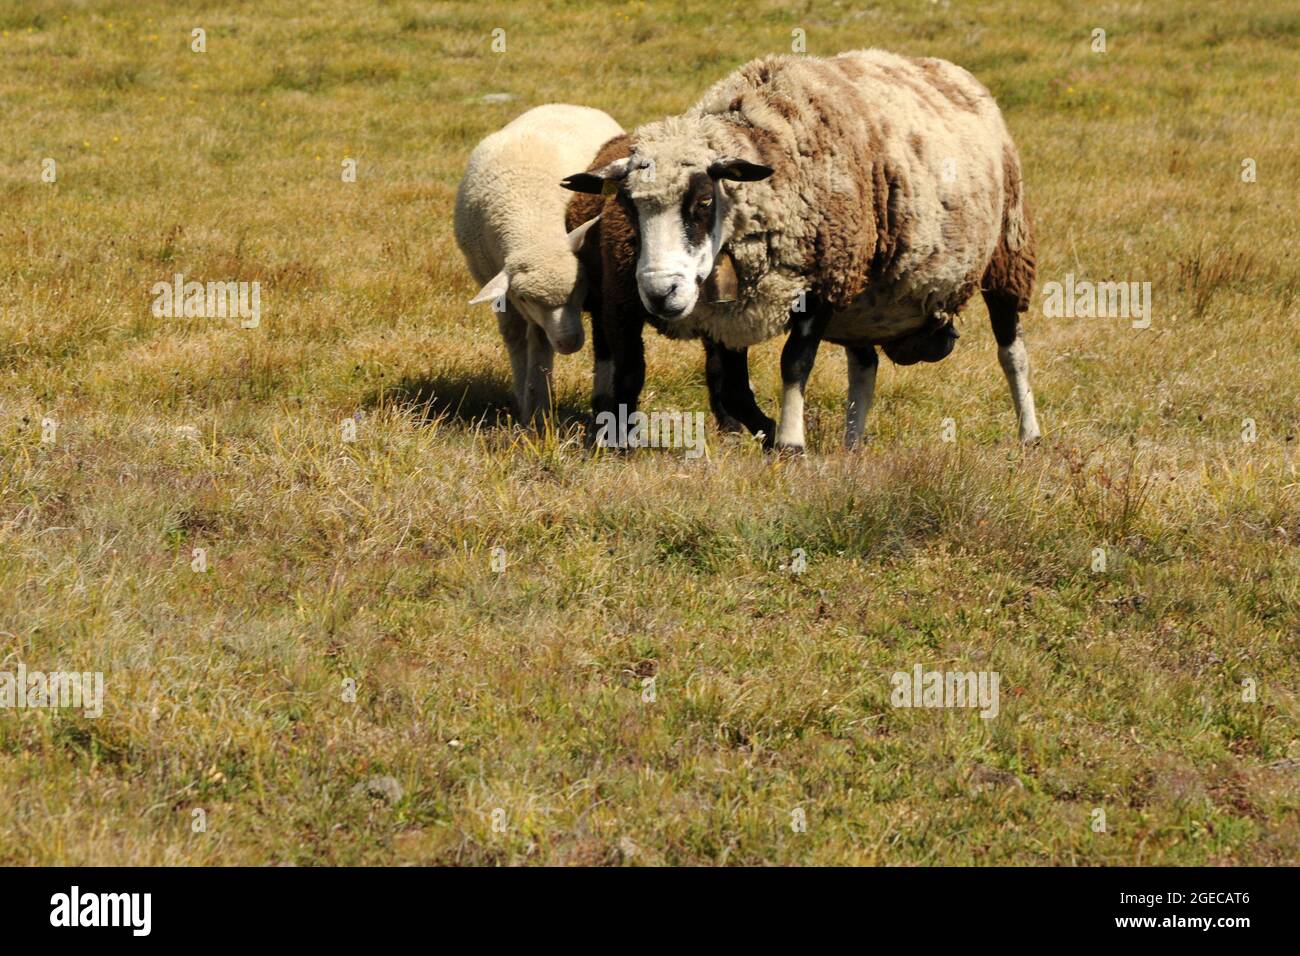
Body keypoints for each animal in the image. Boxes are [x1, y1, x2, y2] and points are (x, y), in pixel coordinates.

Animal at [454, 104, 621, 426]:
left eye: (580, 288)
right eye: (525, 298)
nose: (570, 343)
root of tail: (567, 105)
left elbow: (541, 342)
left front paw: (540, 410)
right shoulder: (497, 285)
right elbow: (516, 337)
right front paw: (526, 404)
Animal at [561, 49, 1041, 452]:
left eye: (703, 202)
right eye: (627, 206)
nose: (660, 293)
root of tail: (947, 67)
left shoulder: (823, 283)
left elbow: (794, 364)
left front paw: (790, 441)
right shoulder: (730, 313)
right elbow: (733, 387)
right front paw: (770, 433)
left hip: (1007, 252)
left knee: (1011, 351)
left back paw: (1030, 434)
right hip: (863, 299)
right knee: (864, 363)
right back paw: (852, 444)